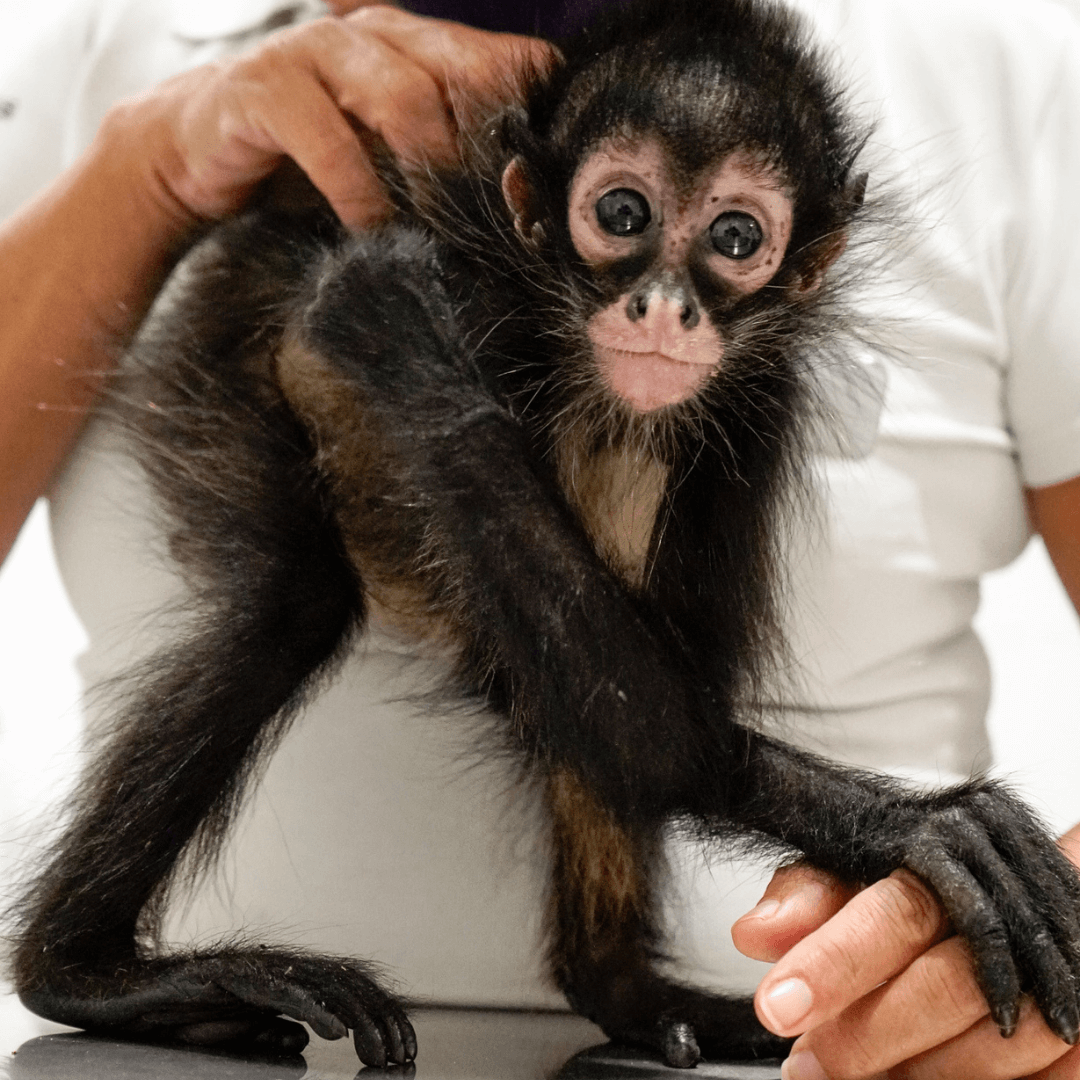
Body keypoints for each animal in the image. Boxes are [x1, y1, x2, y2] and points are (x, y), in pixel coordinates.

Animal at [10, 0, 1080, 1071]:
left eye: (737, 236)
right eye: (622, 215)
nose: (665, 307)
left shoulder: (760, 396)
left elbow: (634, 709)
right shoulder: (484, 301)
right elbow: (617, 718)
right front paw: (910, 826)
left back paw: (623, 989)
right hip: (223, 355)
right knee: (288, 604)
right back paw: (87, 977)